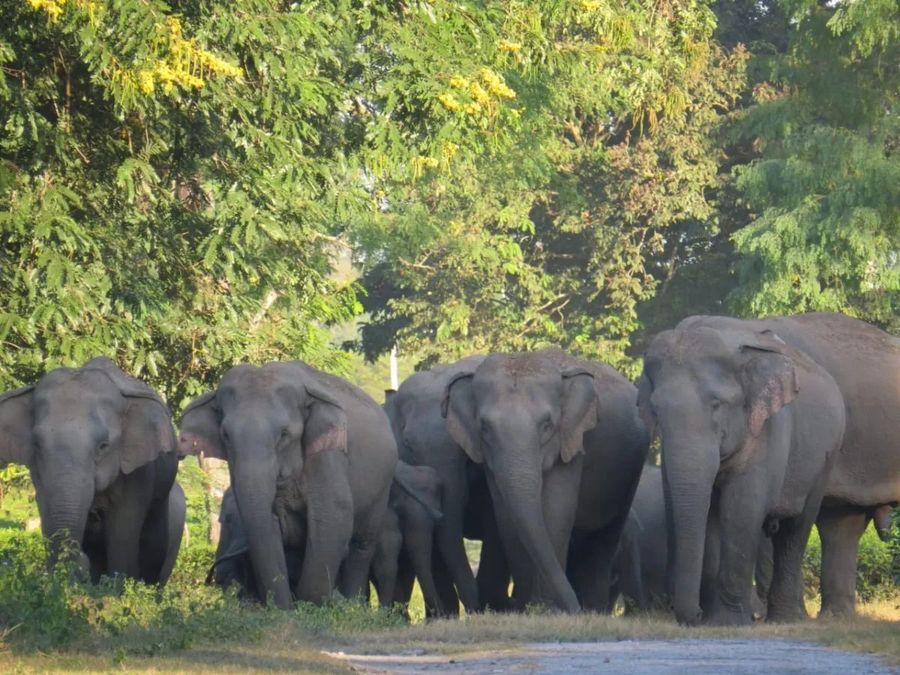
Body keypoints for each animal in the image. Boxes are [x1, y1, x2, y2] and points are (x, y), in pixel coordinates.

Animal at [0, 357, 184, 584]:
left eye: (103, 446)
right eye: (36, 444)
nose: (79, 564)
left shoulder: (139, 472)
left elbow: (123, 531)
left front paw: (118, 587)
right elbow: (47, 512)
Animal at [179, 361, 397, 609]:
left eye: (284, 434)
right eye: (225, 435)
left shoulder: (327, 453)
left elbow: (332, 514)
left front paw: (309, 606)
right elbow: (266, 521)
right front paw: (282, 609)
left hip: (382, 485)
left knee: (362, 542)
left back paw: (353, 605)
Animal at [443, 347, 649, 613]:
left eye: (547, 425)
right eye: (485, 428)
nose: (574, 610)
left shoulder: (571, 443)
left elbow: (554, 510)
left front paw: (547, 609)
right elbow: (507, 517)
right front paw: (529, 609)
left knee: (605, 538)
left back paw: (593, 609)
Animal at [639, 320, 848, 625]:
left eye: (716, 404)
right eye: (655, 410)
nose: (695, 615)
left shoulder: (768, 430)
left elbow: (740, 509)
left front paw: (725, 622)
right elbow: (691, 509)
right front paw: (713, 616)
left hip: (826, 455)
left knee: (796, 529)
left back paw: (784, 619)